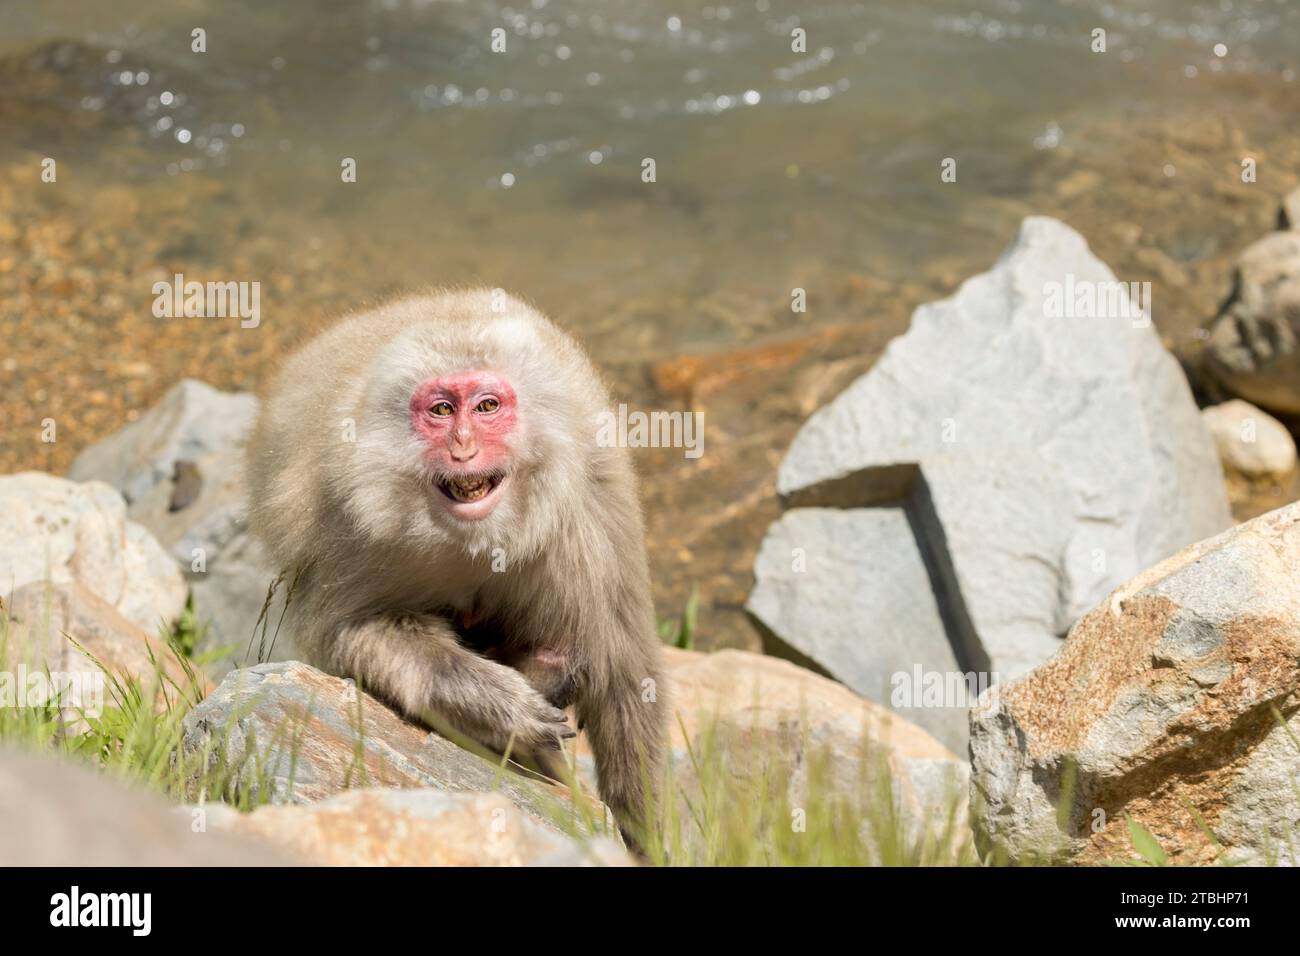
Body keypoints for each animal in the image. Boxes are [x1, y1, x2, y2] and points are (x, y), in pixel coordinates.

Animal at [245, 289, 667, 852]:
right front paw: (495, 705)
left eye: (487, 406)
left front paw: (646, 838)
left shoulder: (588, 522)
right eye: (442, 410)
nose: (462, 446)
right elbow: (350, 633)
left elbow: (625, 679)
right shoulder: (348, 528)